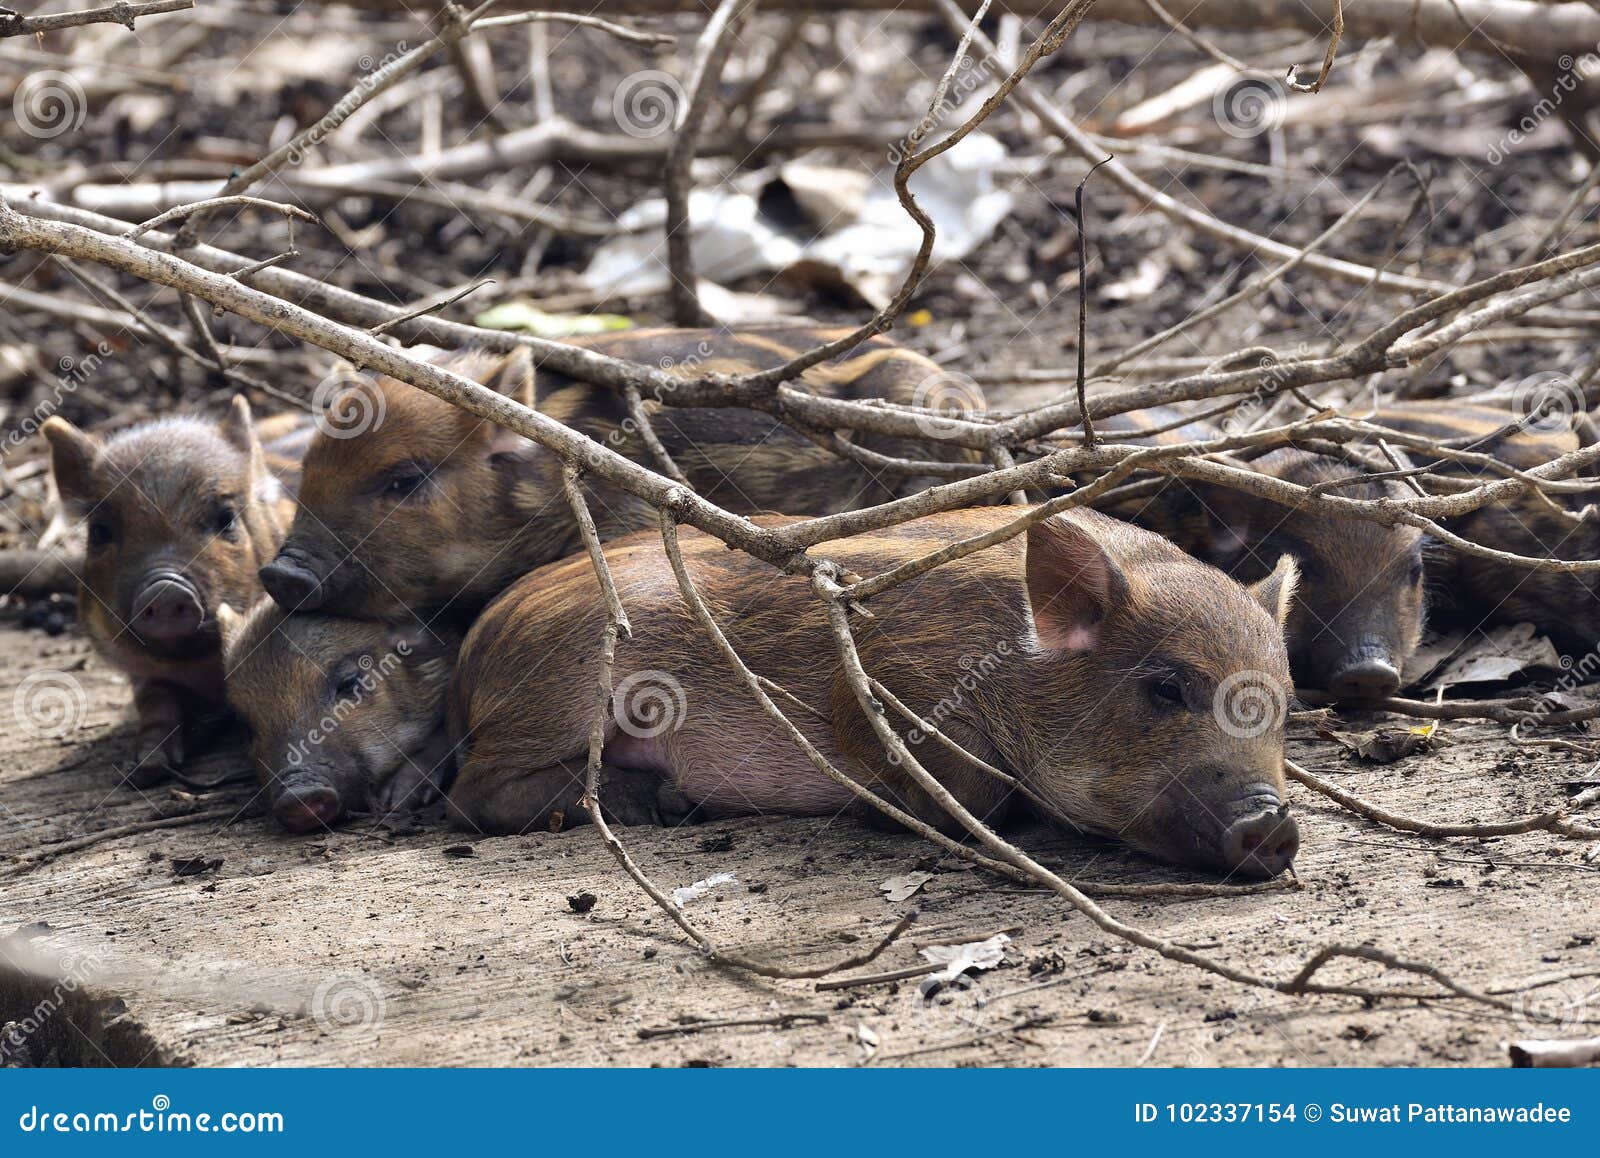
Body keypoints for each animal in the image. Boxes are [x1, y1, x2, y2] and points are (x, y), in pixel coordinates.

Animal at [42, 399, 306, 785]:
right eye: (101, 531)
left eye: (226, 518)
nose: (165, 589)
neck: (201, 671)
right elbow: (155, 703)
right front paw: (145, 768)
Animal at [446, 507, 1303, 879]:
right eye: (1166, 688)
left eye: (1283, 706)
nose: (1273, 825)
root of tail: (475, 644)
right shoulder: (882, 682)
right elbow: (974, 791)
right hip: (571, 674)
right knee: (470, 794)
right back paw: (656, 803)